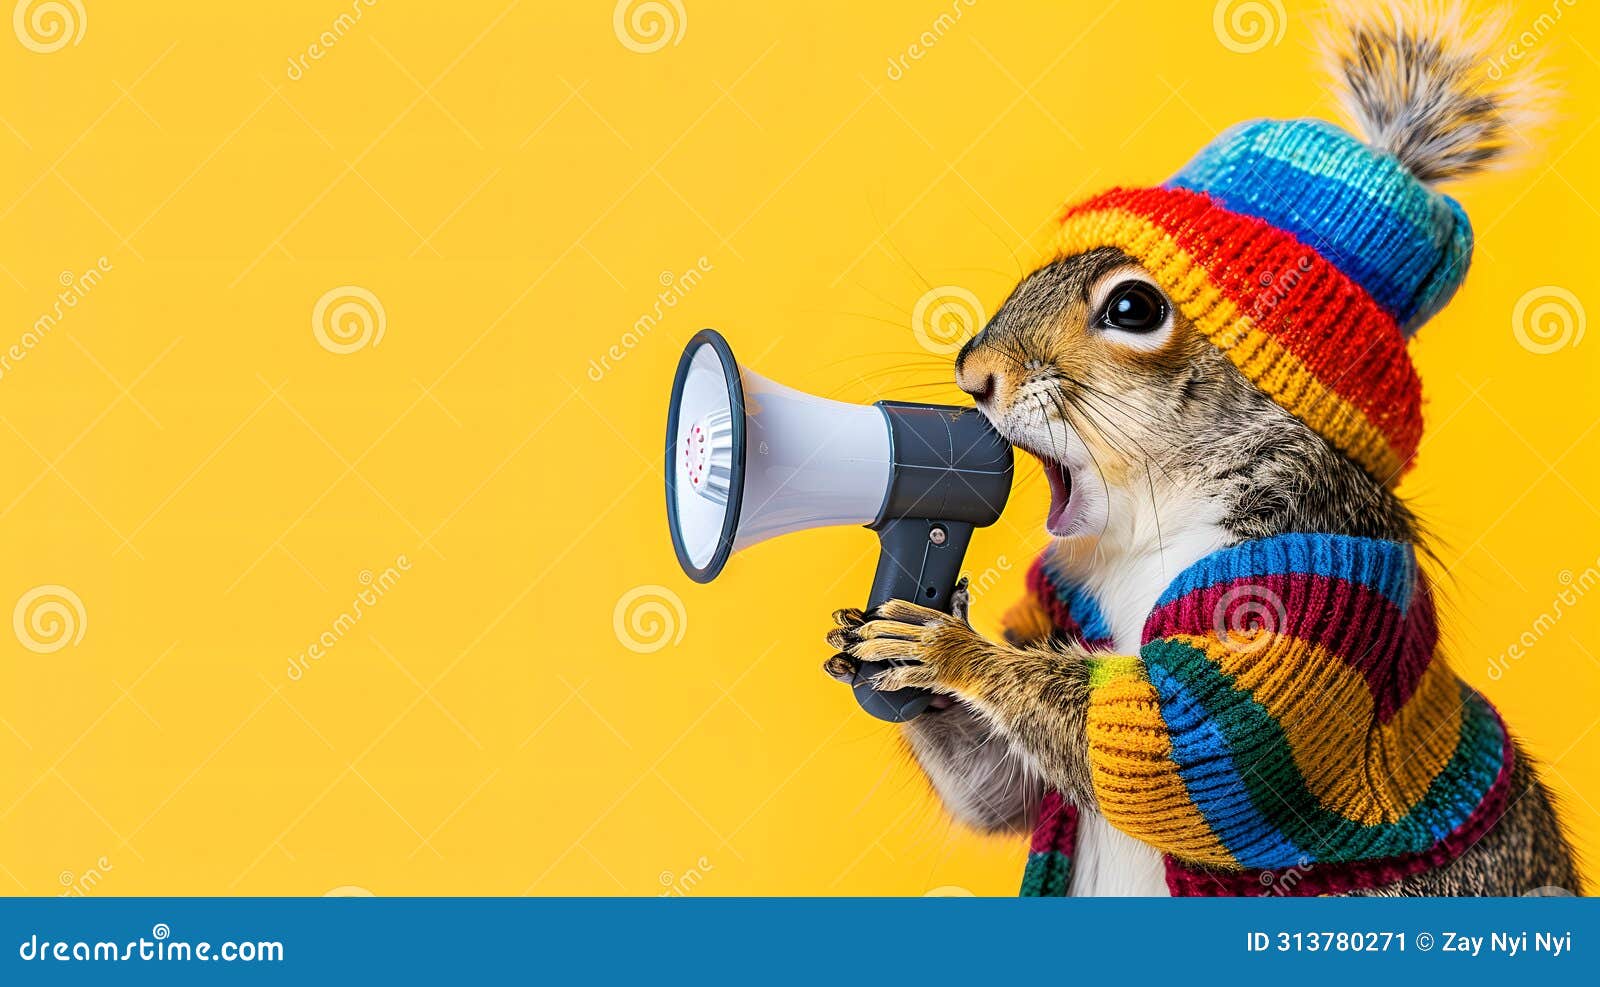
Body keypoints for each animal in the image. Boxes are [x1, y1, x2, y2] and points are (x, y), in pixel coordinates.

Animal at [824, 2, 1580, 897]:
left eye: (1134, 307)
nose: (974, 372)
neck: (1146, 523)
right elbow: (1001, 793)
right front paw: (882, 633)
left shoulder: (1307, 591)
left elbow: (1173, 741)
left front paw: (943, 644)